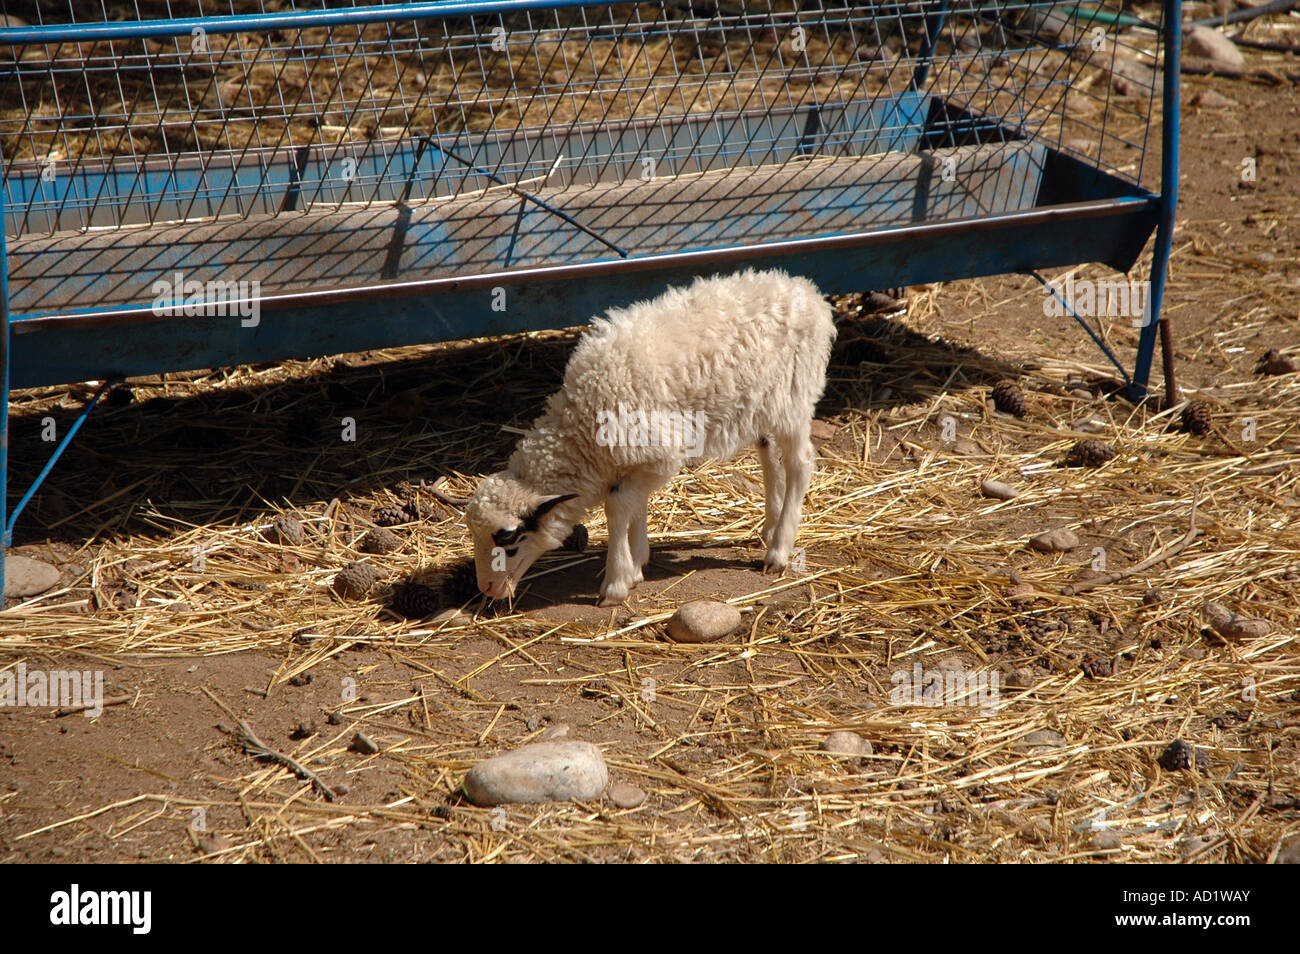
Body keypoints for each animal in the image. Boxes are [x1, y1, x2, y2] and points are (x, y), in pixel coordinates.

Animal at [463, 268, 837, 606]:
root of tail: (807, 291)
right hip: (761, 403)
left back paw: (779, 550)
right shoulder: (636, 457)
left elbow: (617, 508)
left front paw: (616, 583)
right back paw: (770, 528)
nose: (486, 590)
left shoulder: (659, 454)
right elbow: (635, 503)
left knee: (800, 463)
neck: (582, 426)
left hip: (794, 395)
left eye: (511, 544)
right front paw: (637, 560)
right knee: (768, 452)